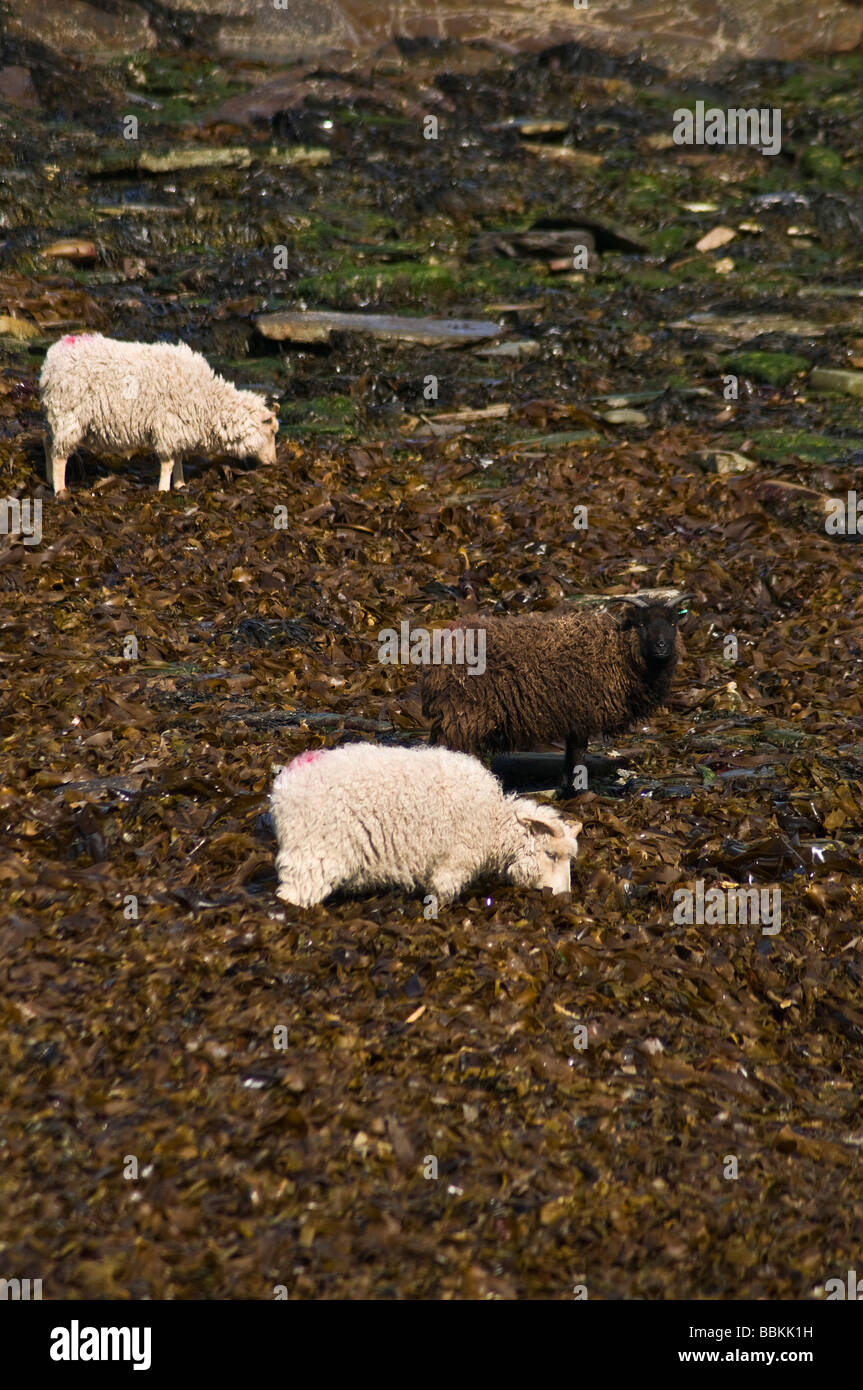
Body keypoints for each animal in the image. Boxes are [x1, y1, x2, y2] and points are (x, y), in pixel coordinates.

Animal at [39, 333, 278, 493]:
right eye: (271, 432)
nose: (274, 463)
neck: (209, 399)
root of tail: (53, 356)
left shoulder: (180, 429)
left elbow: (178, 458)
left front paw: (180, 484)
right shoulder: (168, 427)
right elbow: (168, 463)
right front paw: (163, 489)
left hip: (57, 415)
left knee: (48, 442)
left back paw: (50, 479)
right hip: (69, 413)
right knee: (60, 455)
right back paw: (60, 490)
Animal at [269, 743, 582, 907]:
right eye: (550, 855)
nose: (564, 897)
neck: (493, 822)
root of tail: (288, 782)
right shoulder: (455, 860)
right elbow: (442, 890)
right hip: (314, 851)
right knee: (294, 892)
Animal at [421, 589, 691, 797]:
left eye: (673, 624)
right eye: (642, 624)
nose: (661, 647)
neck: (617, 651)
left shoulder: (575, 717)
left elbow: (571, 756)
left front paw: (566, 788)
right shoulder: (583, 713)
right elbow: (578, 756)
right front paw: (580, 792)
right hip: (461, 713)